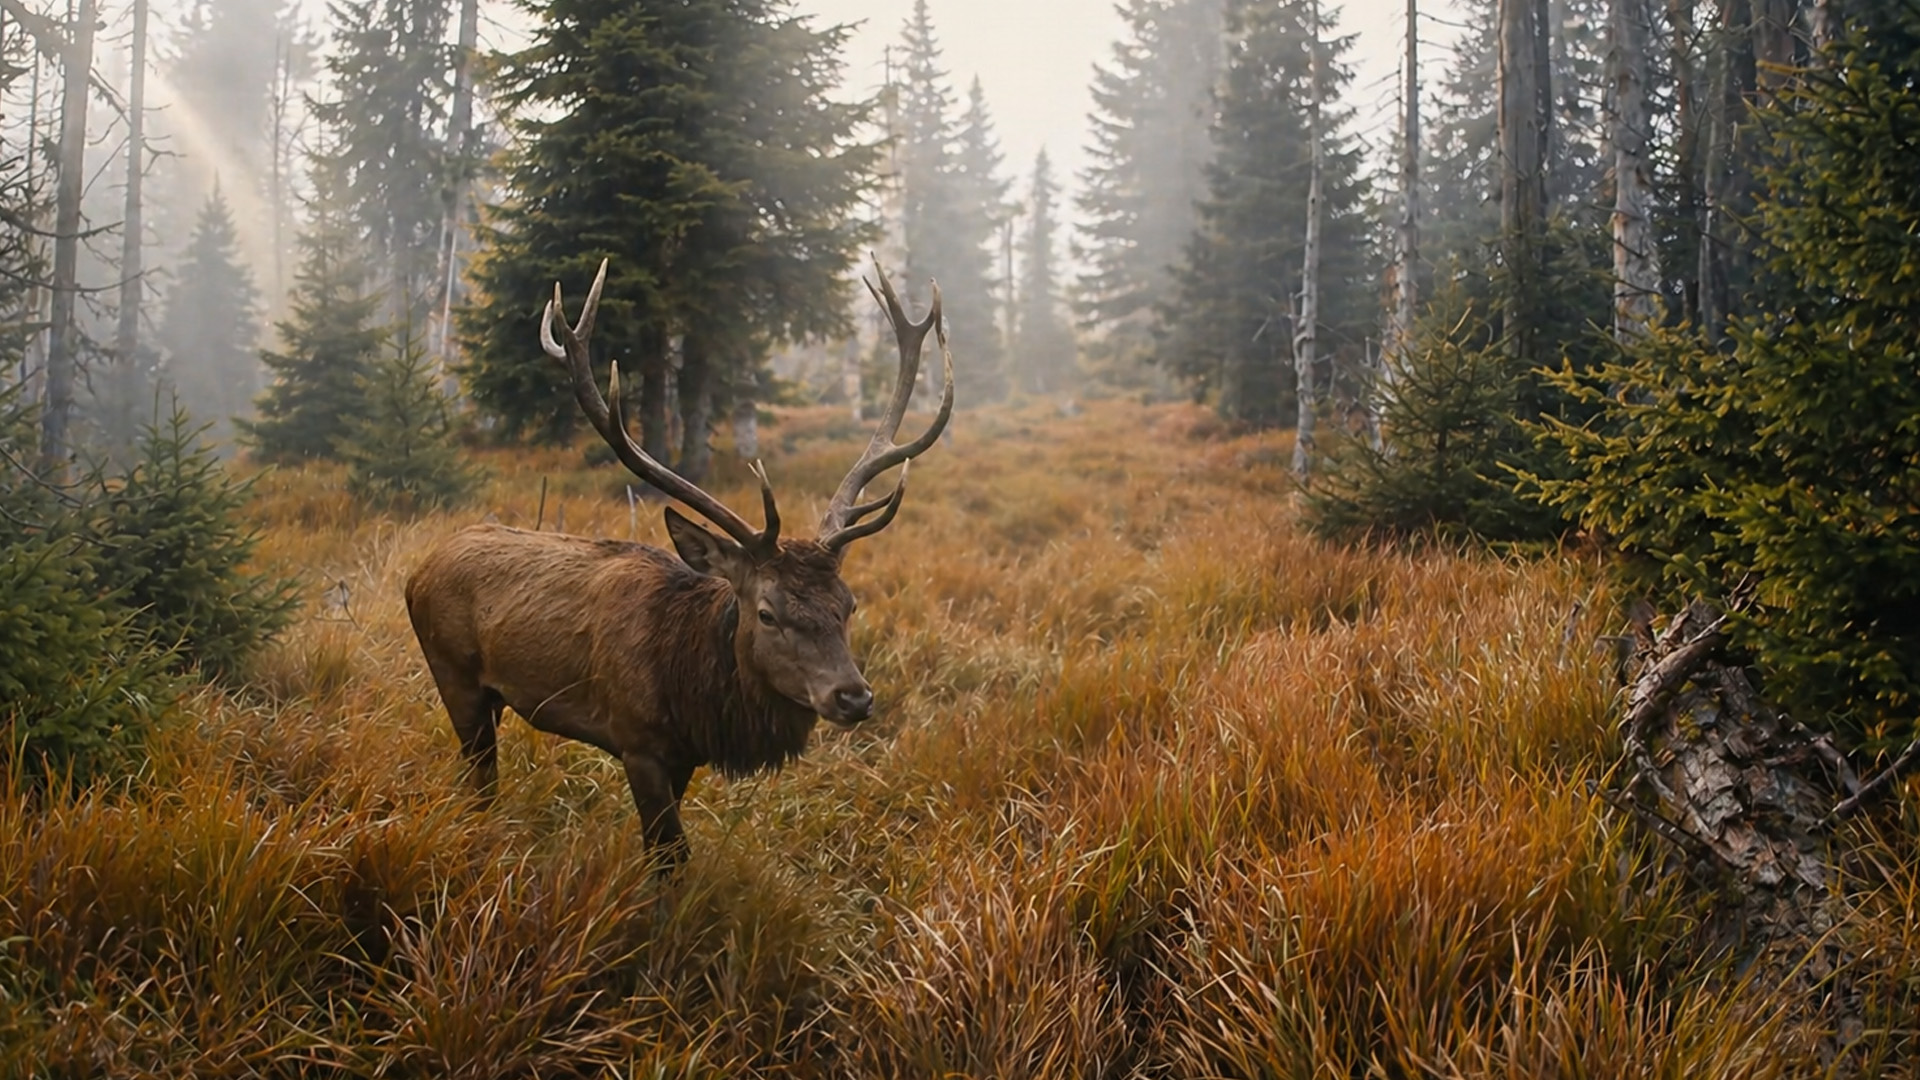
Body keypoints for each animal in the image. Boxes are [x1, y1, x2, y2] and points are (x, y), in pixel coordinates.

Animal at [405, 257, 953, 866]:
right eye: (766, 612)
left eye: (849, 605)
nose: (853, 696)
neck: (696, 692)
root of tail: (420, 570)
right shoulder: (637, 741)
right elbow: (669, 854)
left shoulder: (685, 753)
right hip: (453, 673)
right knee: (478, 776)